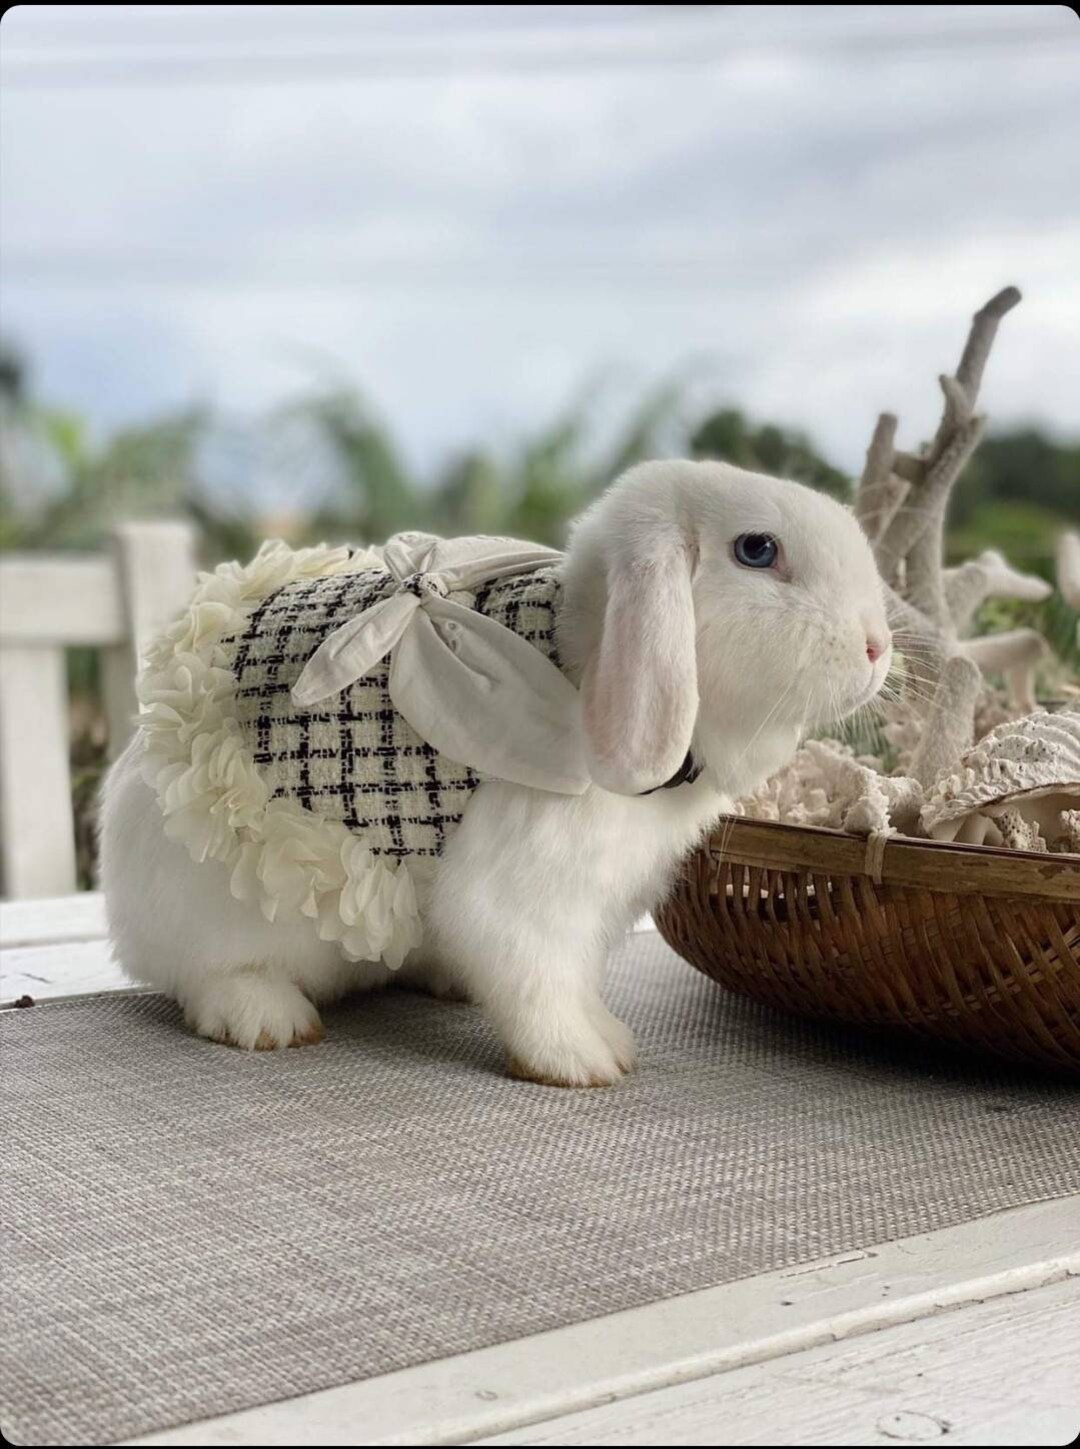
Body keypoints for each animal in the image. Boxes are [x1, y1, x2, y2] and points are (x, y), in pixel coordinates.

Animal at [100, 459, 892, 1086]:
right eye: (757, 549)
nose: (878, 646)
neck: (584, 654)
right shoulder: (521, 898)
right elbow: (537, 978)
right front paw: (581, 1061)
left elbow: (576, 978)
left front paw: (609, 1036)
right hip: (226, 903)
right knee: (203, 973)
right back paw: (265, 1016)